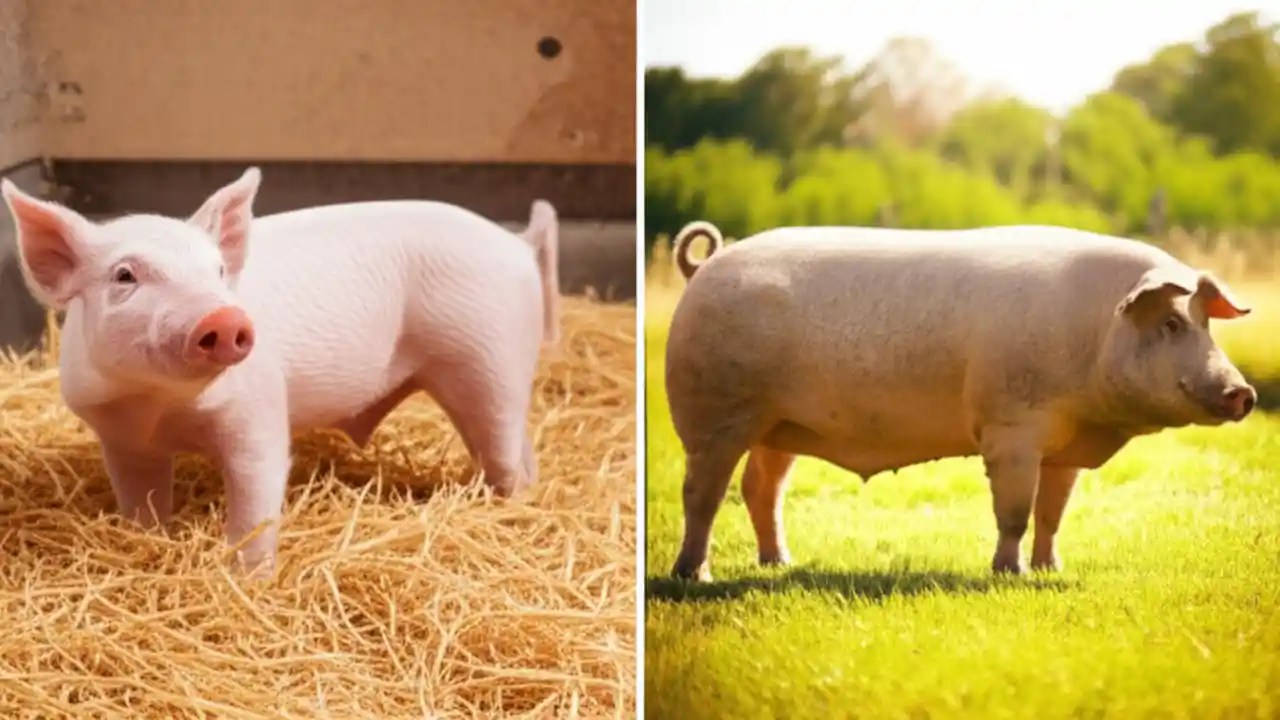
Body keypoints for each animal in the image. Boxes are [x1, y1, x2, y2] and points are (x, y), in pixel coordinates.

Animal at [0, 168, 560, 571]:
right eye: (124, 275)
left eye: (217, 271)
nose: (225, 318)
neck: (162, 408)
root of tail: (517, 244)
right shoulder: (120, 438)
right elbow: (141, 501)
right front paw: (149, 541)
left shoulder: (260, 409)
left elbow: (256, 493)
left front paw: (244, 579)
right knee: (517, 447)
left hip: (489, 355)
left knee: (503, 449)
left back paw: (509, 504)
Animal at [665, 220, 1257, 580]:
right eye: (1172, 323)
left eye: (1207, 323)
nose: (1244, 392)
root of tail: (706, 266)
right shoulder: (1009, 427)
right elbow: (1014, 510)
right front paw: (1009, 573)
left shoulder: (1064, 446)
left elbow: (1052, 513)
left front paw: (1051, 570)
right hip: (715, 415)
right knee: (701, 494)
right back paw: (696, 576)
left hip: (778, 427)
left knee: (760, 489)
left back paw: (779, 564)